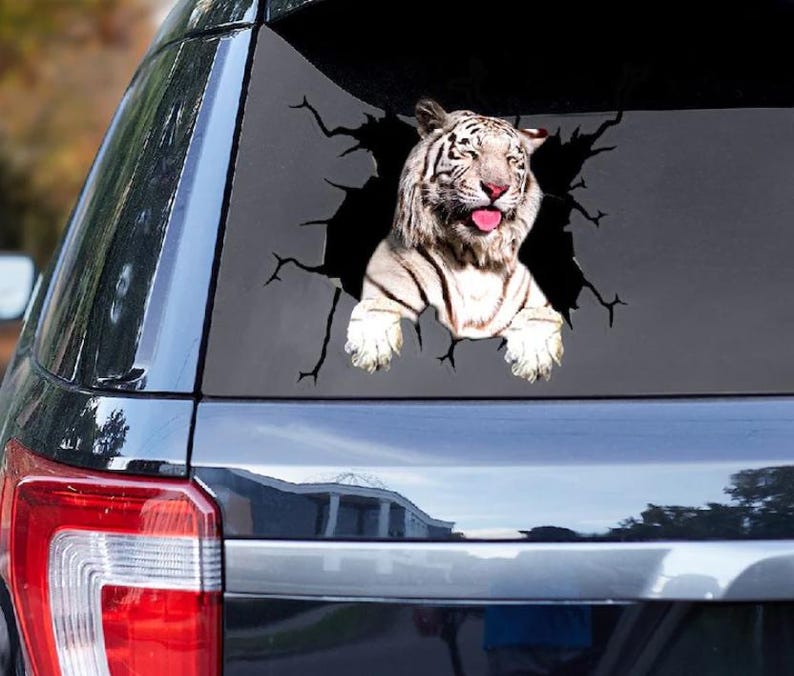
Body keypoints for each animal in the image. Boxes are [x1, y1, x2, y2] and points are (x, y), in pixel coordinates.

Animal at [345, 98, 564, 382]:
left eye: (512, 159)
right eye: (470, 152)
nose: (497, 188)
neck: (474, 256)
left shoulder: (536, 301)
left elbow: (541, 317)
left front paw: (535, 359)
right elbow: (377, 307)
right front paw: (371, 350)